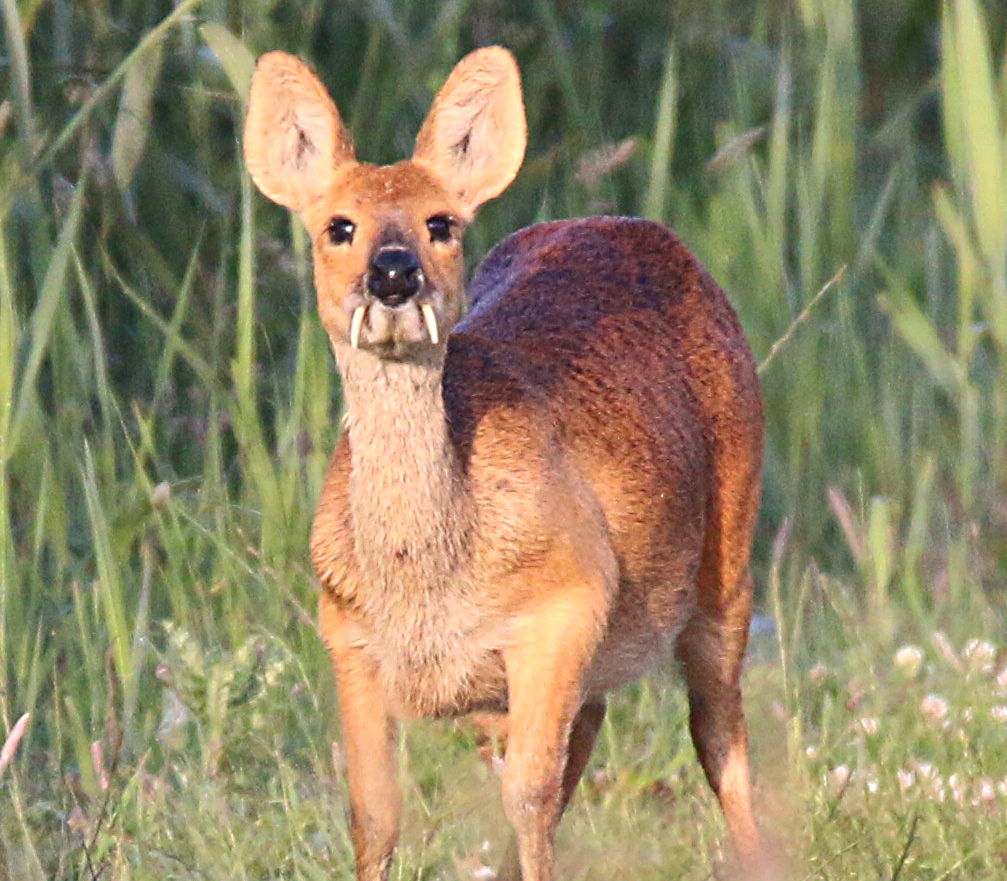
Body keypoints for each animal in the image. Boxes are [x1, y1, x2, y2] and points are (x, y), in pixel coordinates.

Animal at [243, 46, 767, 881]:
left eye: (440, 223)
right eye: (338, 226)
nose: (393, 272)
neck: (427, 579)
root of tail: (641, 227)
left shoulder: (564, 603)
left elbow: (529, 795)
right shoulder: (346, 634)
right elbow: (374, 813)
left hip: (729, 554)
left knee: (718, 735)